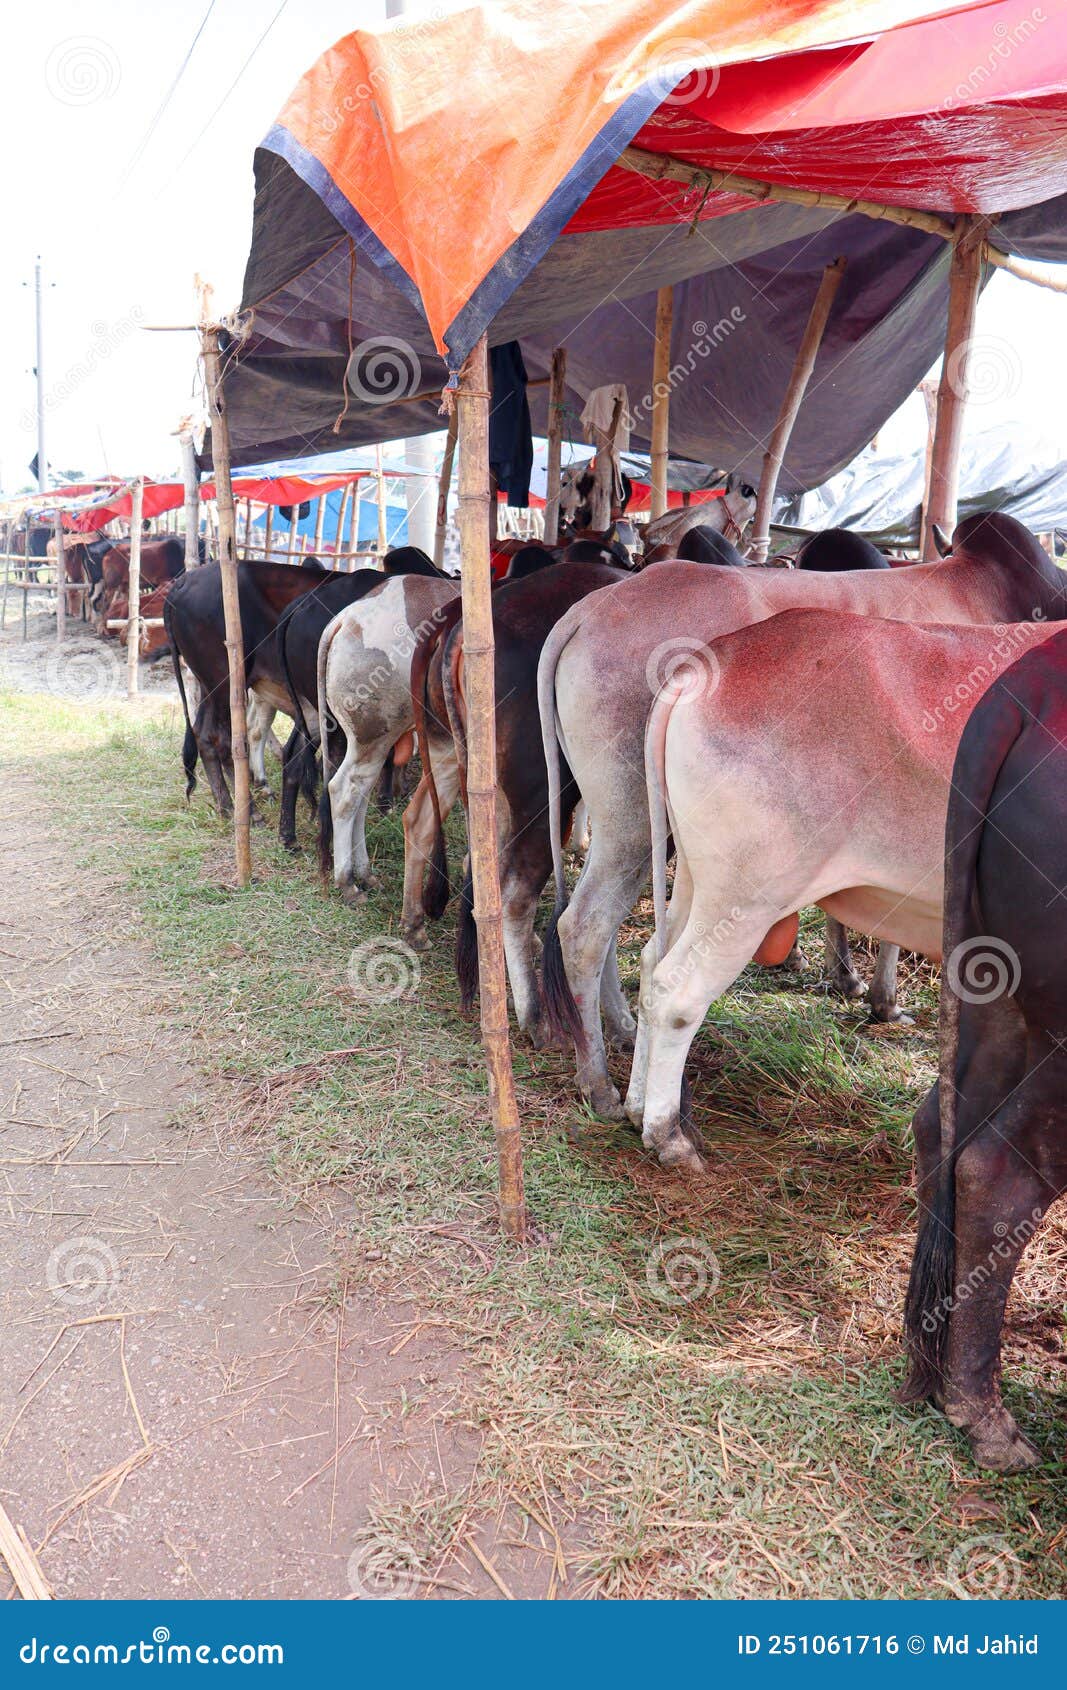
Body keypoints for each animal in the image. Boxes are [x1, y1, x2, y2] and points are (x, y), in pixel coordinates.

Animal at [316, 573, 461, 902]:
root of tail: (347, 618)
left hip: (375, 744)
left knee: (360, 793)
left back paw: (365, 874)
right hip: (373, 737)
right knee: (344, 791)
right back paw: (347, 881)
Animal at [537, 513, 1067, 1118]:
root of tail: (591, 609)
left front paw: (849, 979)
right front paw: (881, 998)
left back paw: (621, 1034)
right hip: (634, 825)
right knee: (586, 928)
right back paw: (599, 1081)